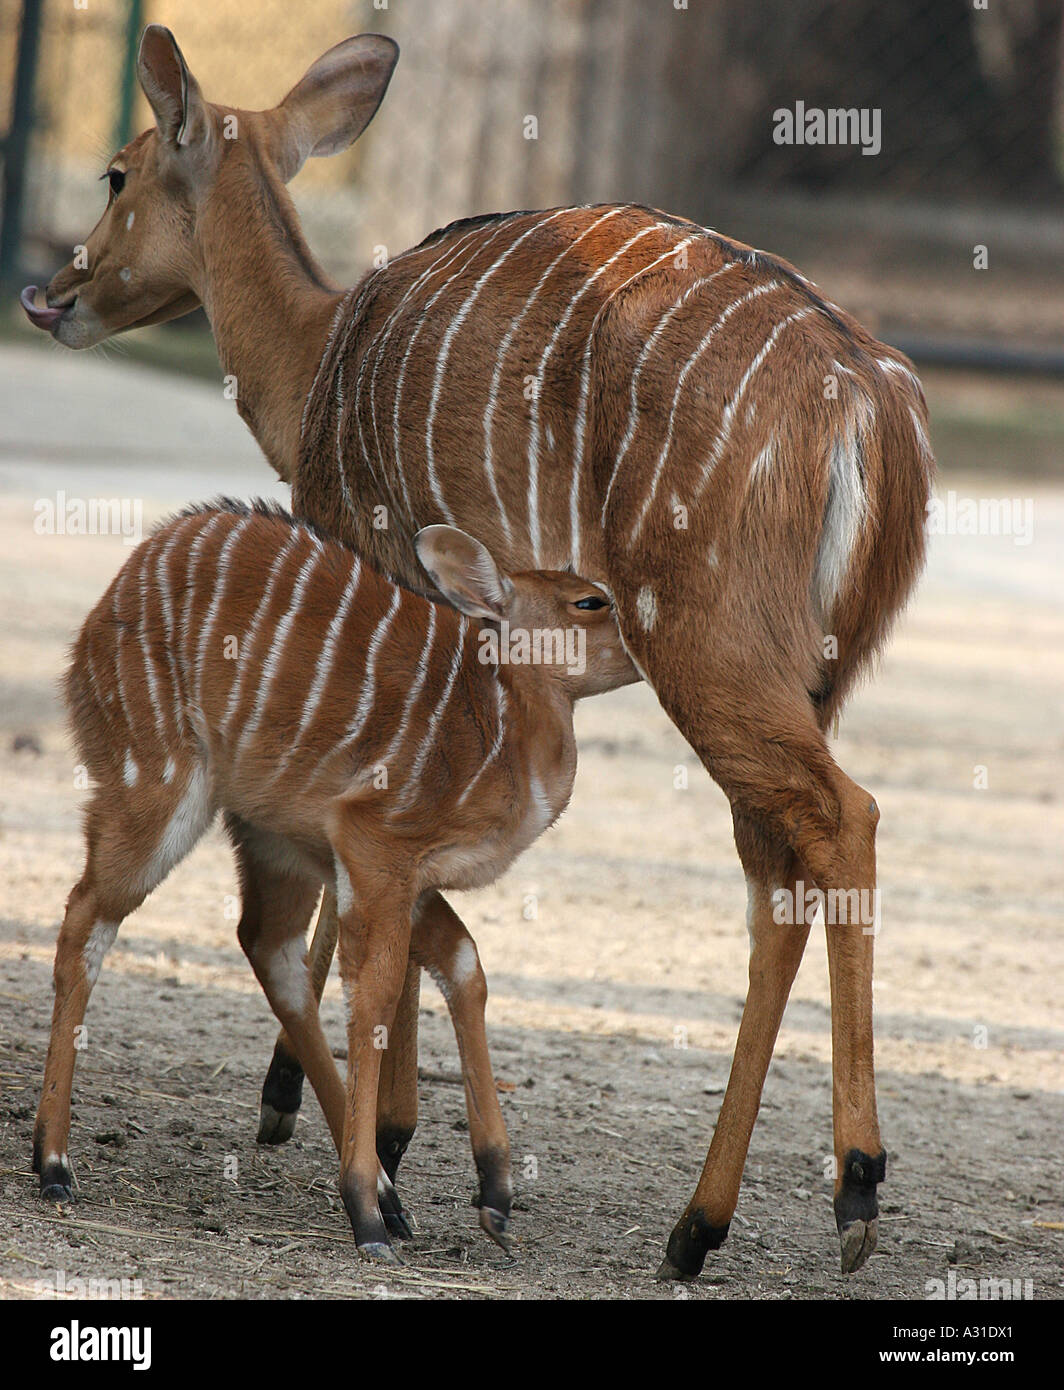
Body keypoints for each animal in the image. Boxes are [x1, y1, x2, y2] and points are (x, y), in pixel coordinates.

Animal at [33, 497, 636, 1261]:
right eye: (590, 601)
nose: (644, 647)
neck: (497, 732)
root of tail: (111, 597)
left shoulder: (400, 876)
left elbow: (464, 966)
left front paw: (494, 1196)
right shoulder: (374, 845)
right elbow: (376, 996)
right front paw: (365, 1215)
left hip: (273, 839)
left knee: (269, 948)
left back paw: (392, 1194)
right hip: (156, 788)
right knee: (87, 920)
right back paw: (54, 1166)